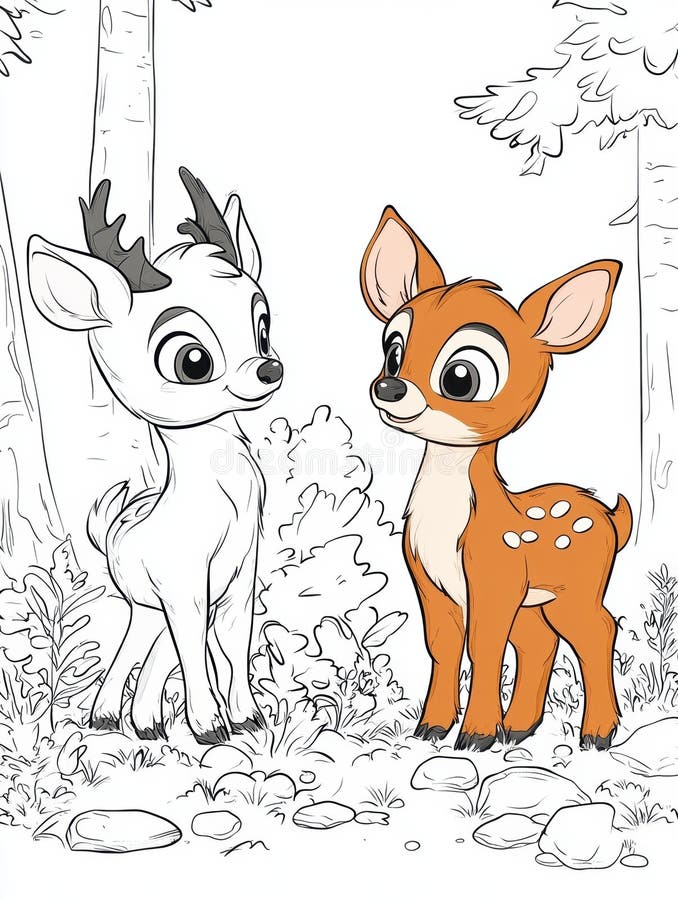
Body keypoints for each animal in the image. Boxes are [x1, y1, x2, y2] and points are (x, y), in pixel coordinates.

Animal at [28, 169, 283, 744]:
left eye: (262, 324)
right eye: (192, 360)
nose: (269, 369)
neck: (222, 499)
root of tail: (114, 529)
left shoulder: (238, 575)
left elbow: (233, 642)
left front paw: (247, 717)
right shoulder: (185, 582)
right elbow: (196, 652)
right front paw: (210, 726)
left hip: (151, 605)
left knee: (146, 653)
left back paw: (140, 723)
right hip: (152, 599)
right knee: (142, 650)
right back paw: (114, 719)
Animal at [360, 207, 632, 752]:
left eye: (461, 377)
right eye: (393, 350)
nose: (390, 386)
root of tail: (611, 519)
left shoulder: (494, 575)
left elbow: (484, 647)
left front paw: (475, 736)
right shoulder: (430, 581)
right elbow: (443, 647)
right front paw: (431, 729)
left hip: (576, 587)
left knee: (598, 631)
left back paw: (596, 734)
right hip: (537, 600)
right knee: (540, 641)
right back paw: (522, 728)